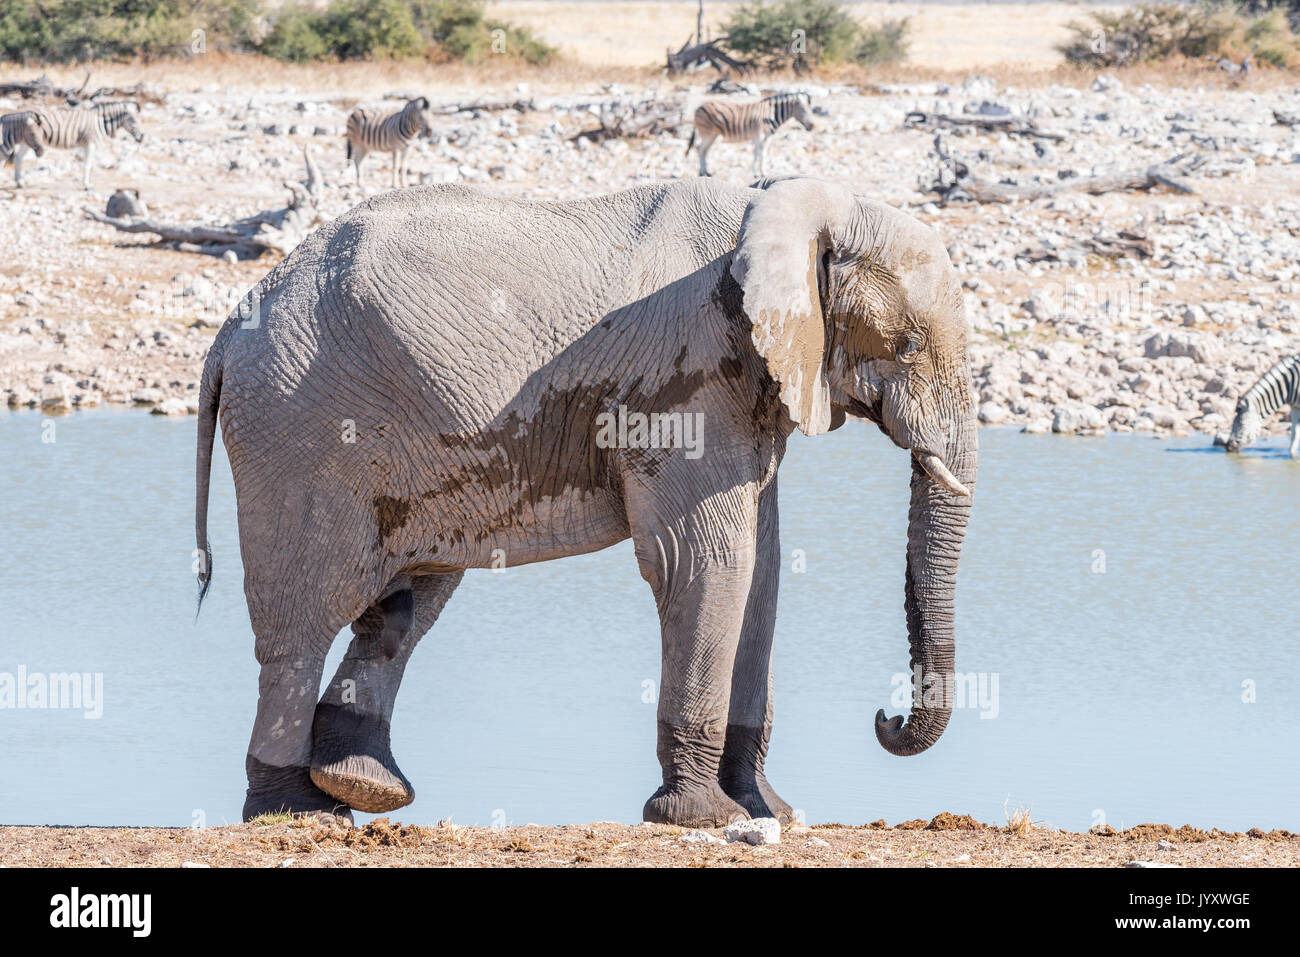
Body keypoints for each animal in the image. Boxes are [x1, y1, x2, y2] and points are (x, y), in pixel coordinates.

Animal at [194, 176, 978, 828]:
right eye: (908, 346)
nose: (883, 719)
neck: (787, 206)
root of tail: (228, 331)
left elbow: (765, 569)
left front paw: (769, 812)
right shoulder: (690, 378)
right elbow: (707, 560)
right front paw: (702, 818)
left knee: (405, 601)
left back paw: (363, 788)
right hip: (299, 424)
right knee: (305, 615)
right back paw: (297, 811)